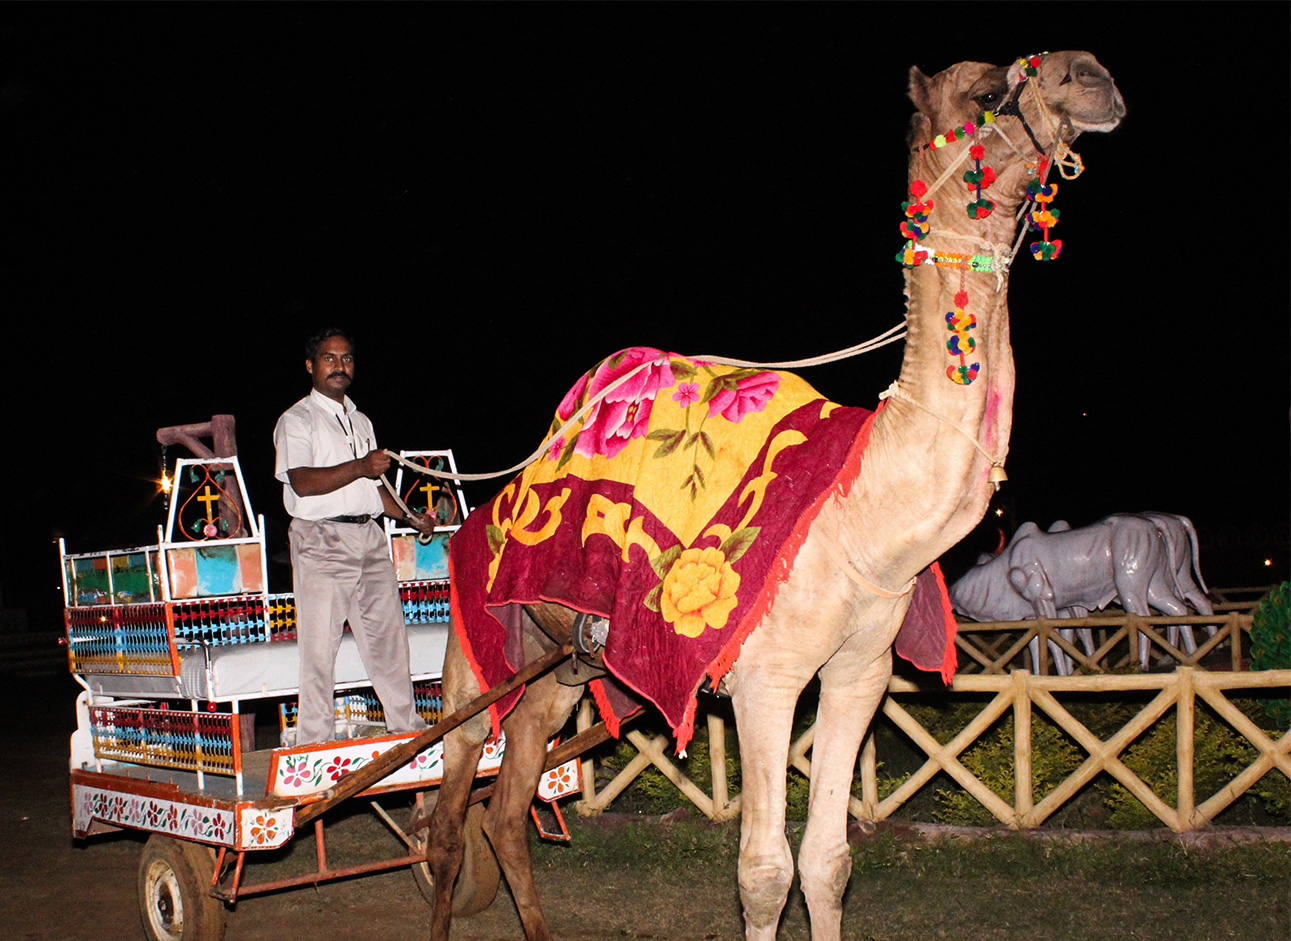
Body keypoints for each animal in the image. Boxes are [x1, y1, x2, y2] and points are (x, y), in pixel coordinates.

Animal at [423, 53, 1120, 939]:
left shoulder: (858, 674)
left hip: (558, 668)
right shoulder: (765, 679)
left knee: (509, 809)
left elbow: (828, 862)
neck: (864, 516)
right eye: (986, 92)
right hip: (472, 647)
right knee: (448, 815)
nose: (1091, 78)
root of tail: (470, 517)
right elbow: (763, 872)